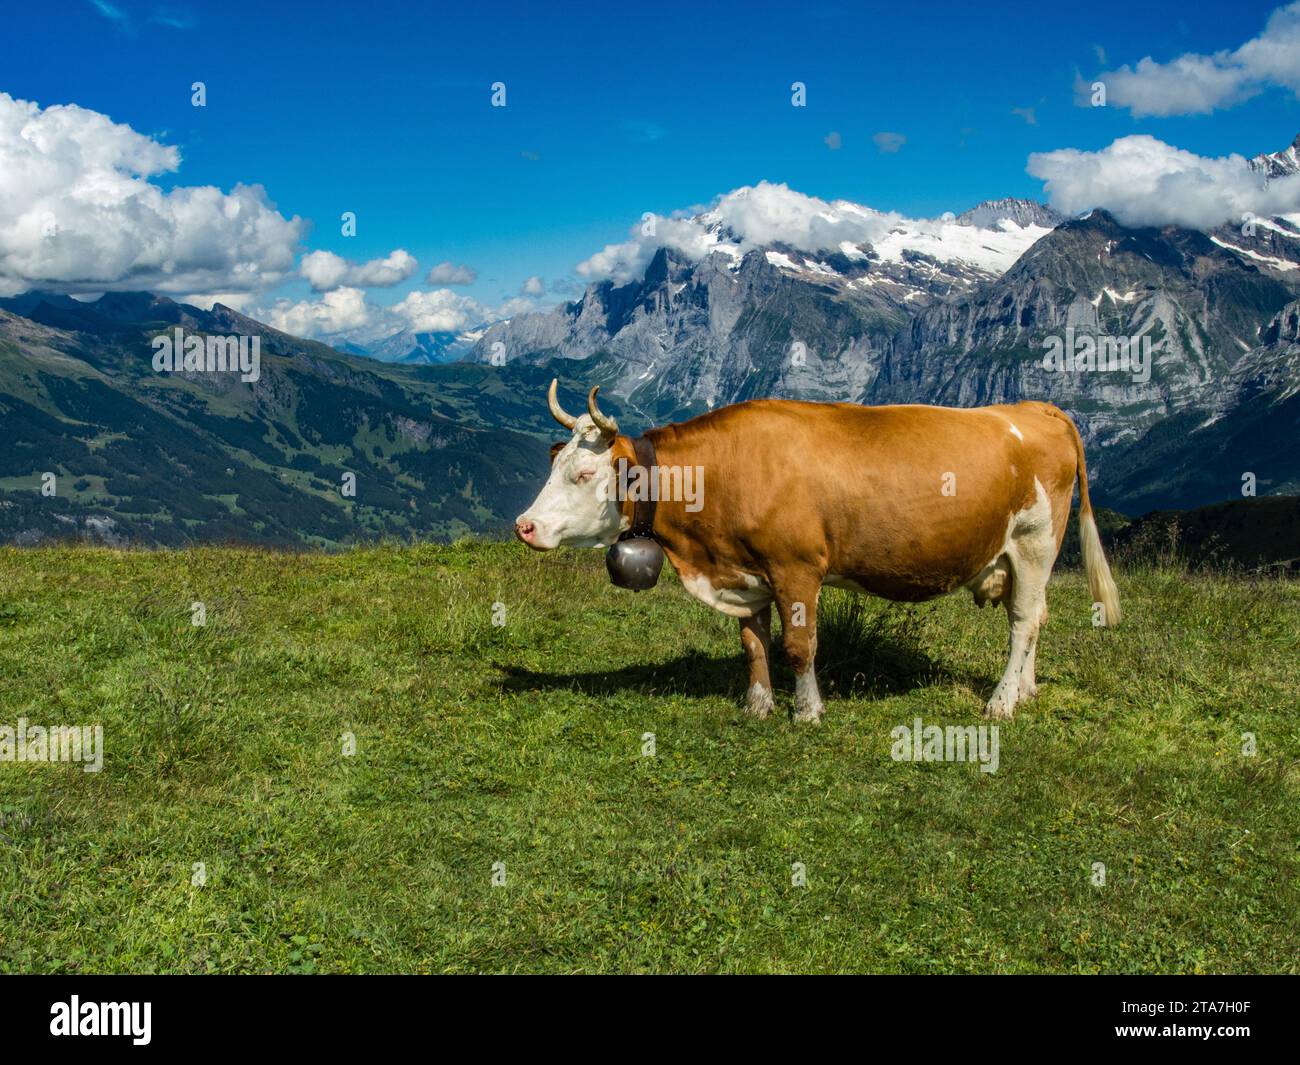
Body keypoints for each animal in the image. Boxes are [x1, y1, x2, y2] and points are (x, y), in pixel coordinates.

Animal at [515, 380, 1120, 722]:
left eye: (583, 473)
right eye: (555, 463)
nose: (524, 525)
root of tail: (1034, 408)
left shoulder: (796, 568)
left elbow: (799, 646)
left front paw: (807, 711)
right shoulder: (746, 572)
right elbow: (753, 644)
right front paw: (758, 706)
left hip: (1035, 541)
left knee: (1023, 622)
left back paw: (1001, 702)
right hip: (1022, 557)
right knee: (1037, 615)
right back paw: (1027, 691)